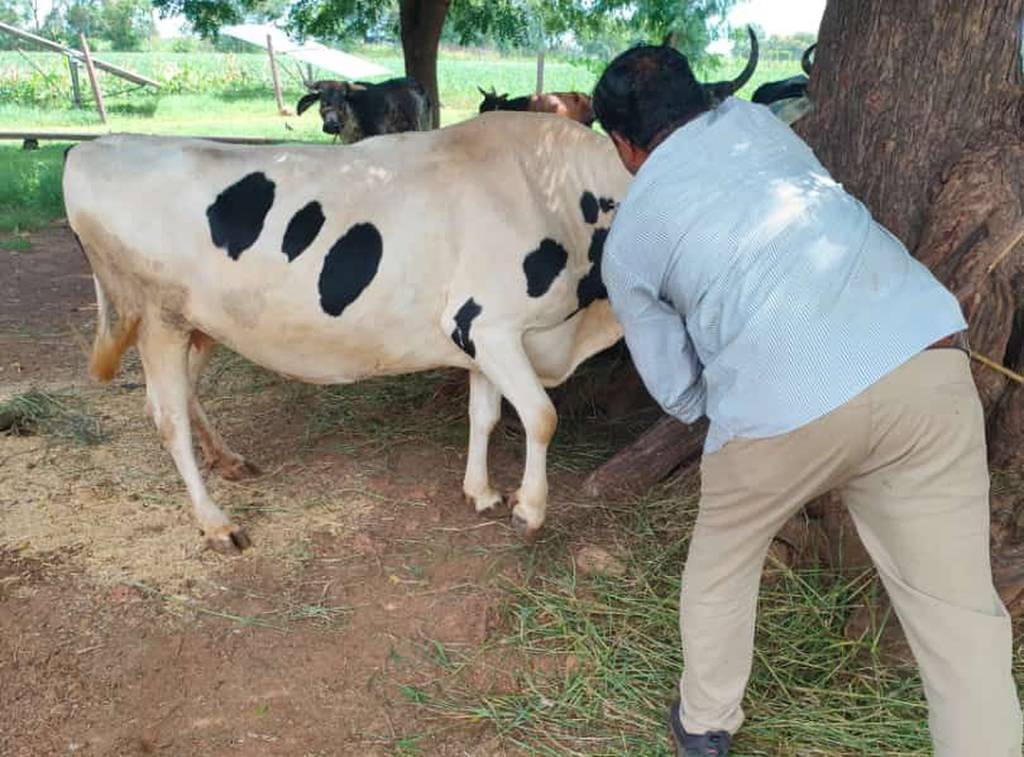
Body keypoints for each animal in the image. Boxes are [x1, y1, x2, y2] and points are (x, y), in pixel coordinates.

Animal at [62, 112, 630, 554]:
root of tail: (94, 146)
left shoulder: (478, 335)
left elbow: (485, 415)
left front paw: (481, 492)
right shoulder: (492, 326)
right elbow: (541, 416)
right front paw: (528, 510)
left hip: (202, 324)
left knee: (180, 395)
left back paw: (227, 460)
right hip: (158, 317)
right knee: (168, 417)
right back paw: (217, 523)